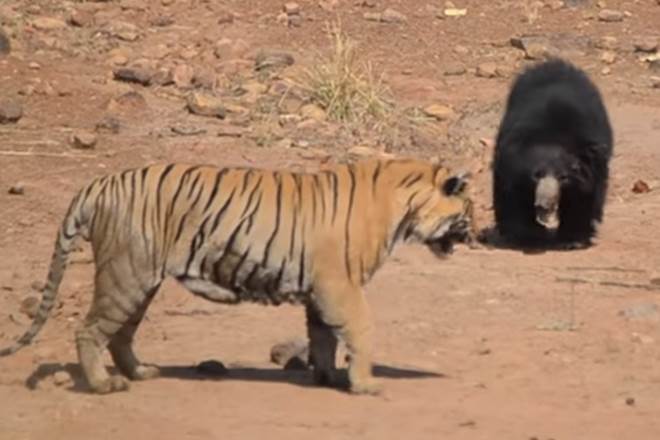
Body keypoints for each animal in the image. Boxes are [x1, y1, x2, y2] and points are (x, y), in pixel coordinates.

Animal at [0, 156, 474, 396]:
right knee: (89, 331)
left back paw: (141, 373)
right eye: (468, 211)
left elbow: (322, 337)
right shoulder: (340, 286)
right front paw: (366, 384)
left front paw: (328, 378)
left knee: (120, 334)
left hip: (138, 279)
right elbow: (359, 329)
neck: (402, 207)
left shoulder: (320, 290)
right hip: (125, 274)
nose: (477, 235)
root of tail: (99, 182)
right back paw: (103, 384)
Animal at [491, 58, 614, 249]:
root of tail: (553, 63)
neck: (553, 134)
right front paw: (528, 236)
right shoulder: (510, 158)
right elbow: (513, 193)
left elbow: (584, 196)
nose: (544, 205)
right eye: (536, 175)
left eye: (563, 177)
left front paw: (573, 240)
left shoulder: (592, 162)